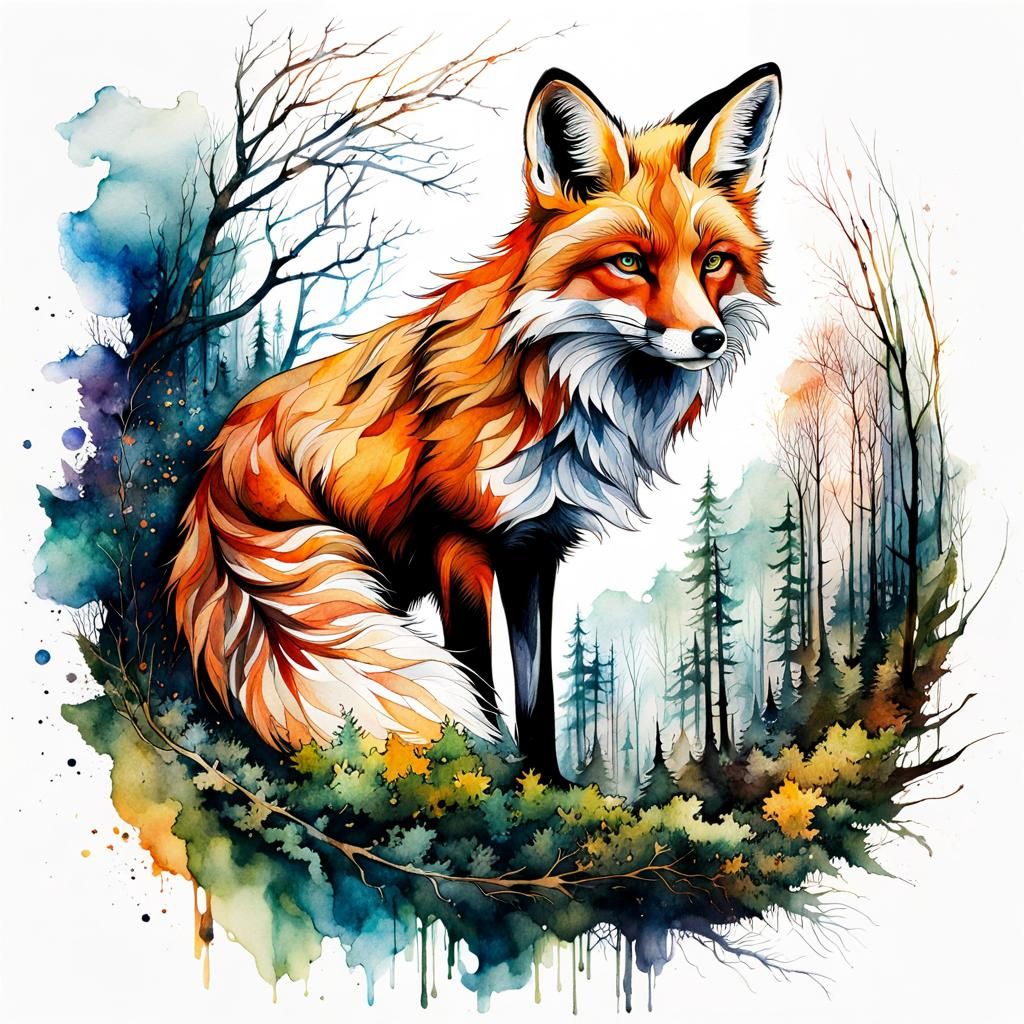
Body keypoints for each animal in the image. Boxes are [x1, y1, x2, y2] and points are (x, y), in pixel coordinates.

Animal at [169, 63, 781, 781]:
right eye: (629, 262)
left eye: (712, 261)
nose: (708, 338)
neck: (558, 399)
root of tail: (218, 459)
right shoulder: (458, 545)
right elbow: (480, 678)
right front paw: (485, 773)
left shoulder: (534, 548)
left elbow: (536, 691)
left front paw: (549, 781)